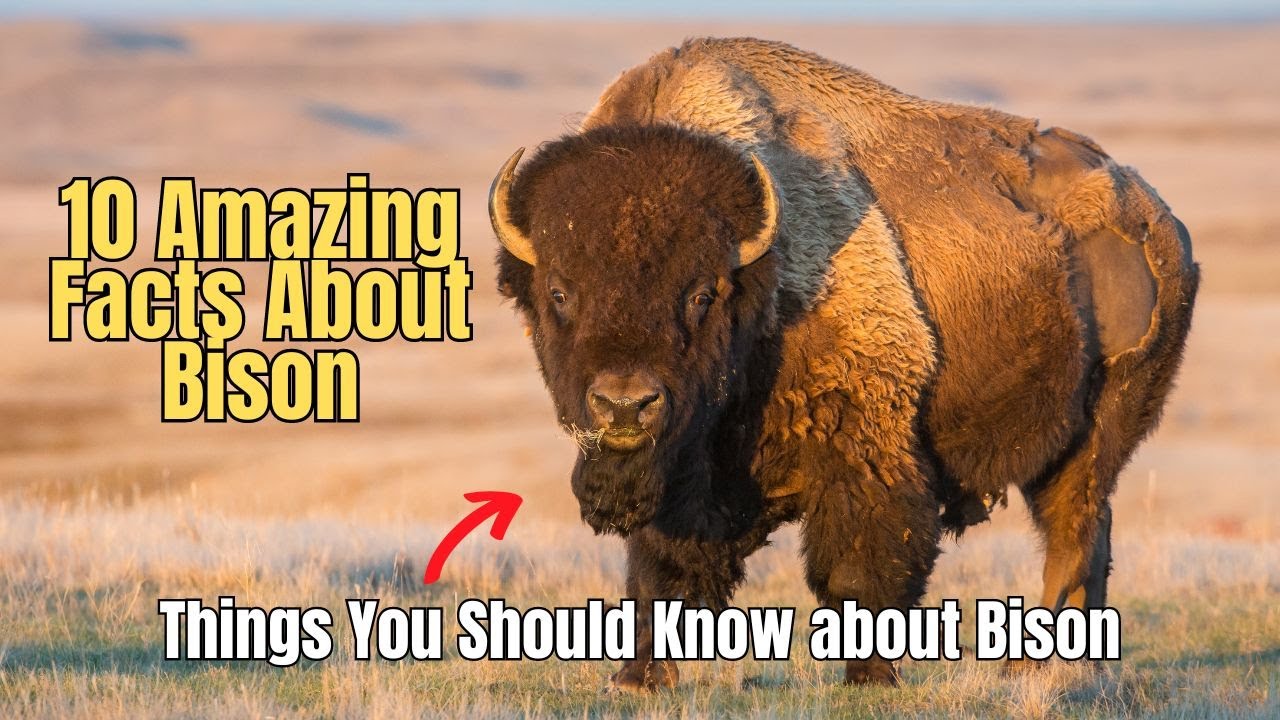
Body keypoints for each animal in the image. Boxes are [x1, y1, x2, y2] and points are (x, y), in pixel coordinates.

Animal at [491, 37, 1197, 688]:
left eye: (701, 293)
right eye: (559, 292)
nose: (625, 404)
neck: (763, 280)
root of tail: (1158, 218)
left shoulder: (865, 444)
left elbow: (860, 569)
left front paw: (871, 679)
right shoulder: (685, 480)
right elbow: (660, 573)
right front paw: (638, 678)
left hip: (1099, 433)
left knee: (1073, 532)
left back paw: (1034, 670)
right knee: (1089, 536)